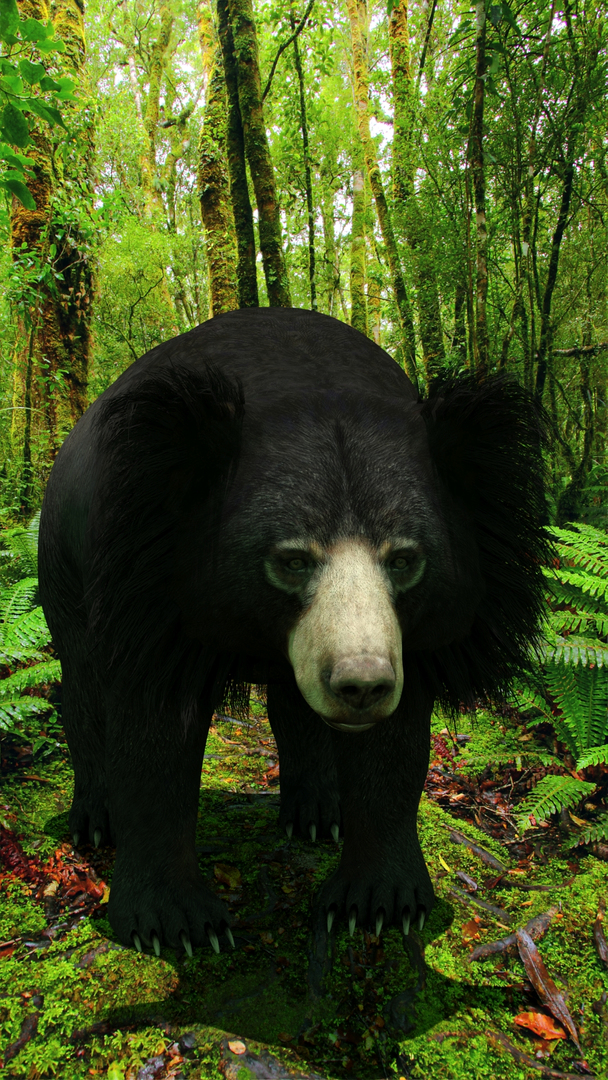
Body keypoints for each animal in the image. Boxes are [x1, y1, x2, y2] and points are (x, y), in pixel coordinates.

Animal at [38, 307, 550, 957]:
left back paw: (316, 814)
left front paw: (376, 904)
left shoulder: (412, 639)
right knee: (82, 684)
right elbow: (154, 736)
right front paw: (175, 925)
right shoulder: (152, 586)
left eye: (405, 559)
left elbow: (394, 750)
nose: (362, 685)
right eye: (292, 560)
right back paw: (95, 822)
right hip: (64, 560)